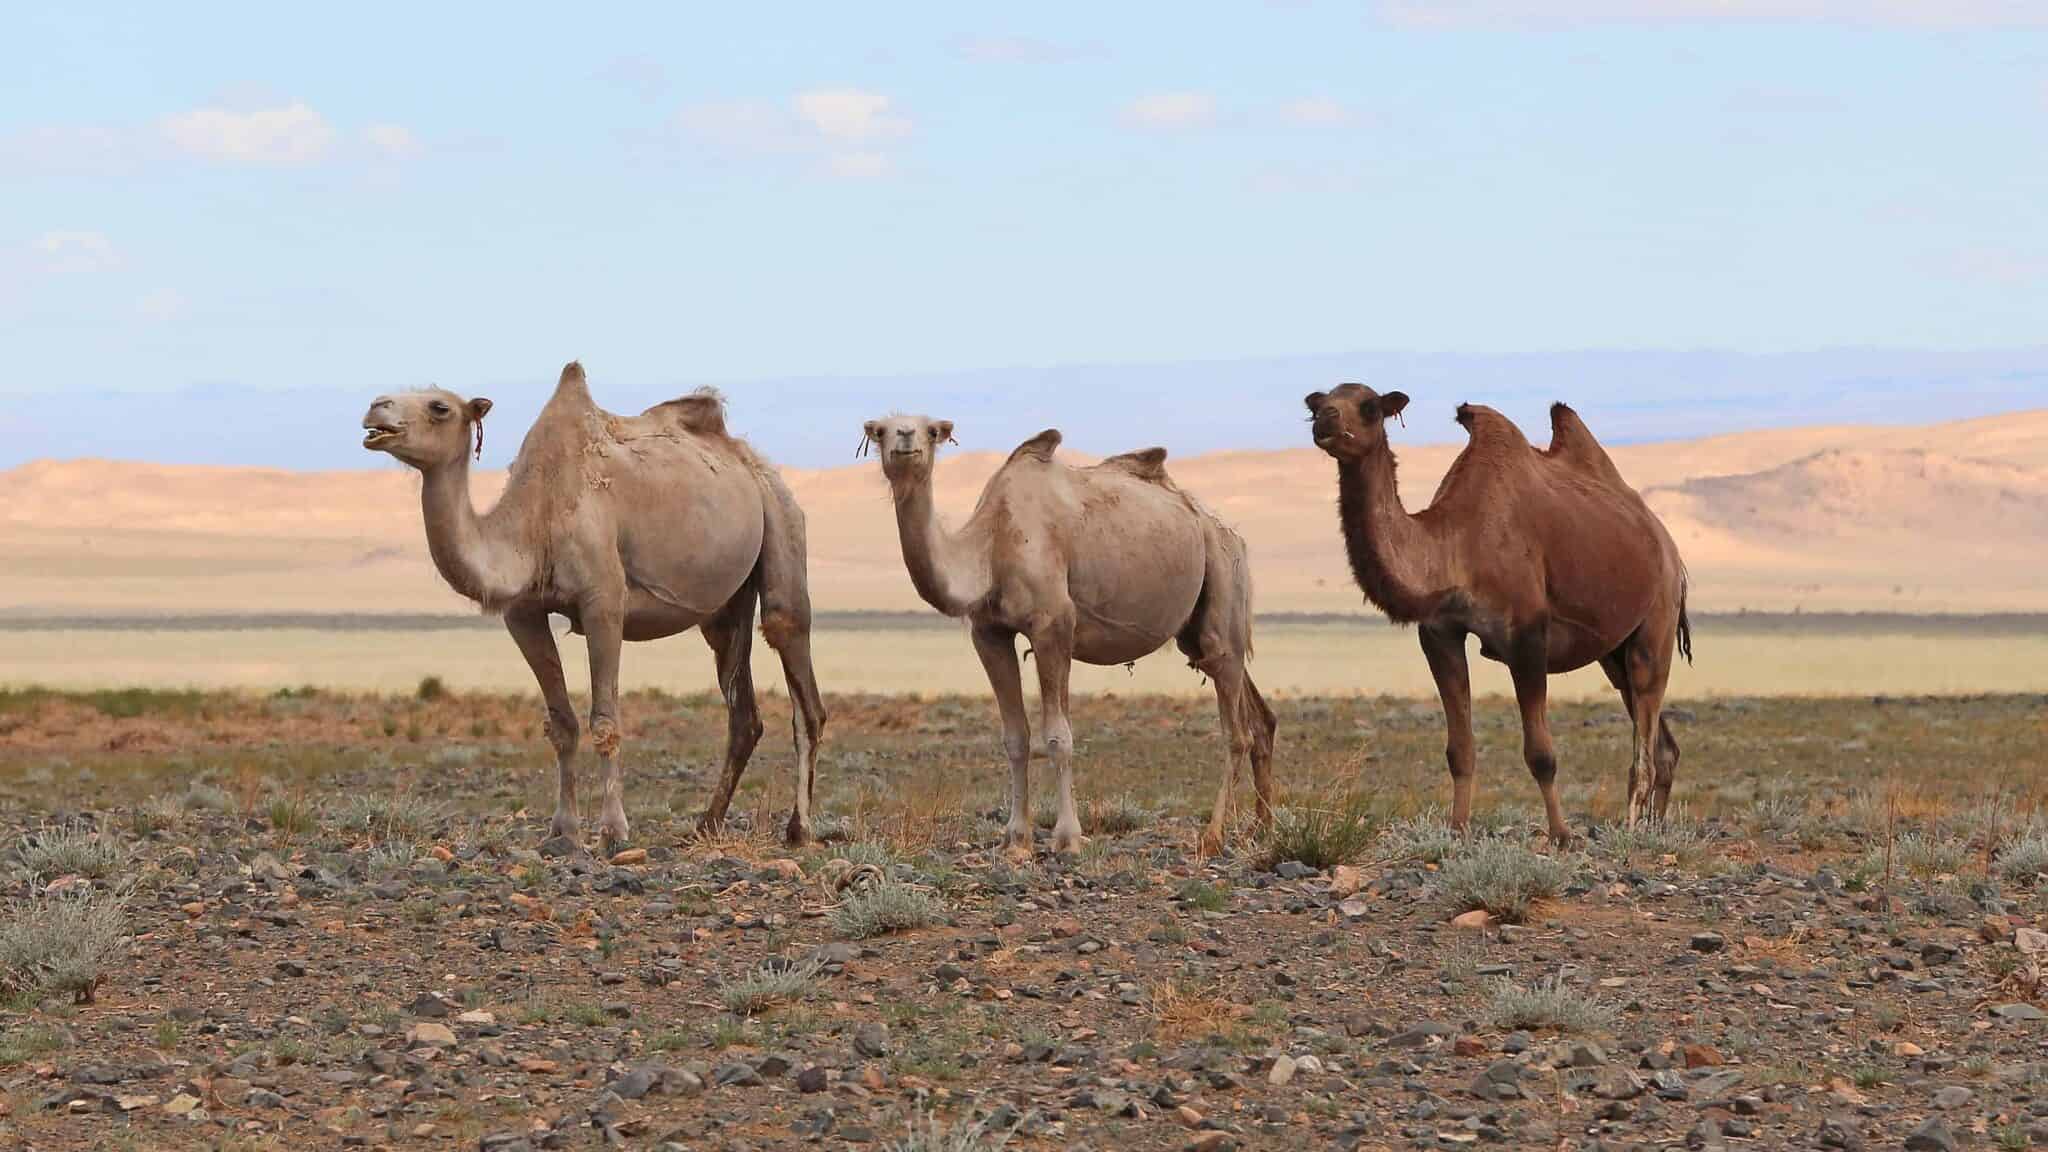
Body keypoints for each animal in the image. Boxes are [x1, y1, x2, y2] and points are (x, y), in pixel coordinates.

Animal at [361, 362, 827, 851]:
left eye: (439, 407)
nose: (375, 407)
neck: (536, 521)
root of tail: (748, 458)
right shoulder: (523, 614)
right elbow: (562, 725)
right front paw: (563, 828)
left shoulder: (603, 602)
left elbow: (605, 722)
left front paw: (613, 830)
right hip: (726, 601)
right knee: (742, 708)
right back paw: (707, 822)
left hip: (781, 515)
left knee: (791, 647)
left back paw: (799, 828)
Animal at [861, 416, 1275, 858]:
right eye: (880, 430)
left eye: (931, 430)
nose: (906, 437)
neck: (992, 543)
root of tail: (1231, 534)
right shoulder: (989, 632)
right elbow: (1016, 737)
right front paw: (1016, 838)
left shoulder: (1053, 626)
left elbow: (1059, 736)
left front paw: (1068, 837)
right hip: (1195, 630)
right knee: (1257, 716)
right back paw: (1263, 828)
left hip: (1224, 579)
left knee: (1236, 729)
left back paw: (1214, 835)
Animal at [1304, 385, 1691, 843]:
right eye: (1318, 401)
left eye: (1369, 407)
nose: (1325, 419)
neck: (1457, 546)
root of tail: (1669, 547)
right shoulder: (1440, 633)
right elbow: (1460, 750)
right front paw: (1457, 829)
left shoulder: (1527, 635)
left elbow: (1541, 753)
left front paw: (1561, 835)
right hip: (1612, 651)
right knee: (1660, 740)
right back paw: (1655, 827)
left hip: (1657, 617)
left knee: (1645, 726)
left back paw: (1632, 829)